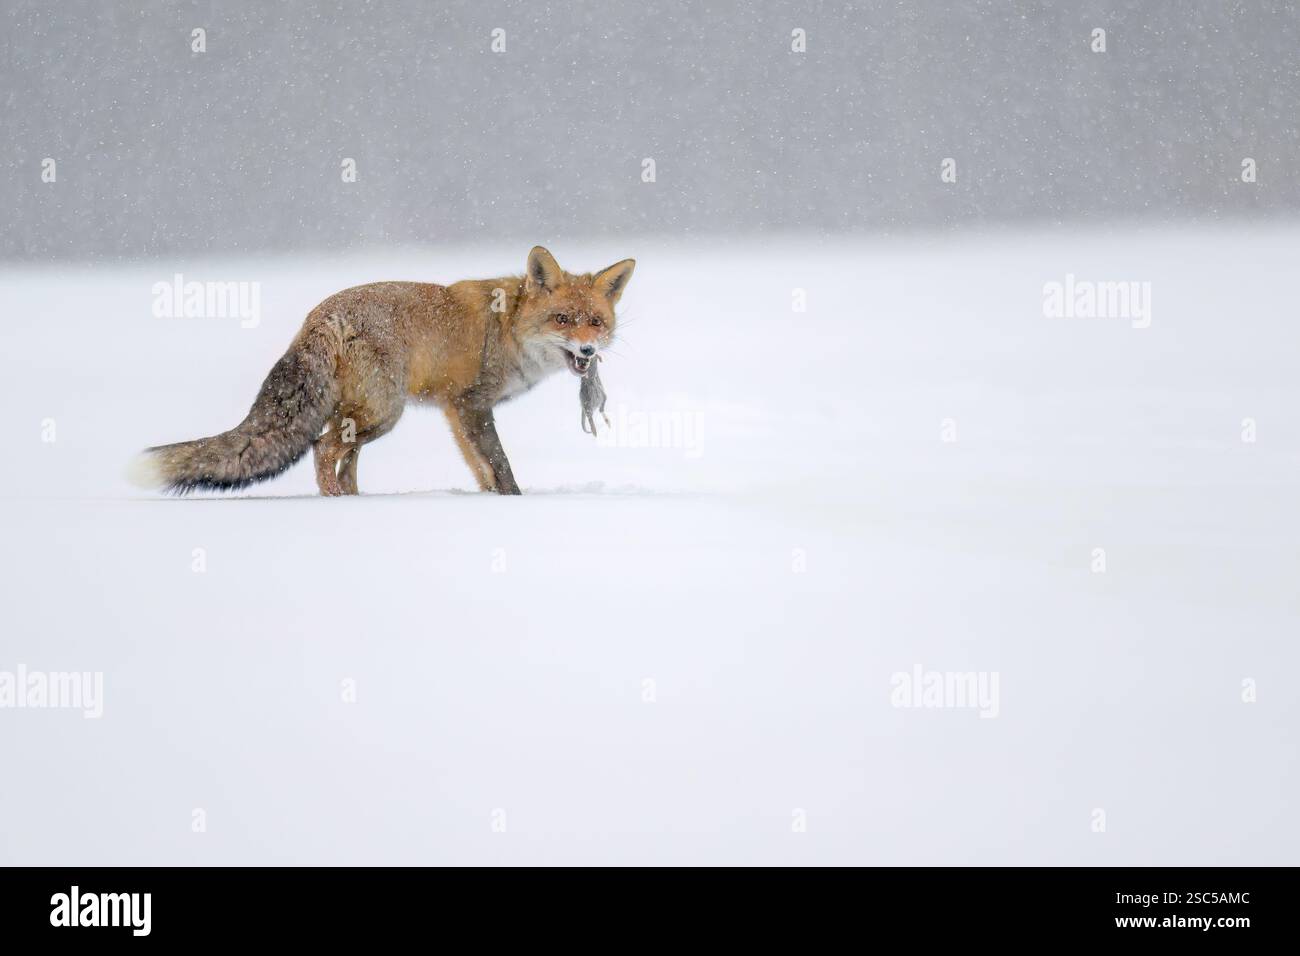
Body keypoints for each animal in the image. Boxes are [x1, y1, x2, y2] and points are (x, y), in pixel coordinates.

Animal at [130, 246, 635, 496]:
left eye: (595, 321)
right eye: (562, 319)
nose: (588, 351)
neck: (507, 326)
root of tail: (320, 315)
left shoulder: (456, 412)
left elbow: (481, 470)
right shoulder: (471, 404)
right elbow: (500, 465)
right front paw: (514, 504)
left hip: (361, 414)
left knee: (343, 459)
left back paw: (354, 503)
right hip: (383, 412)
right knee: (321, 448)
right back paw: (335, 505)